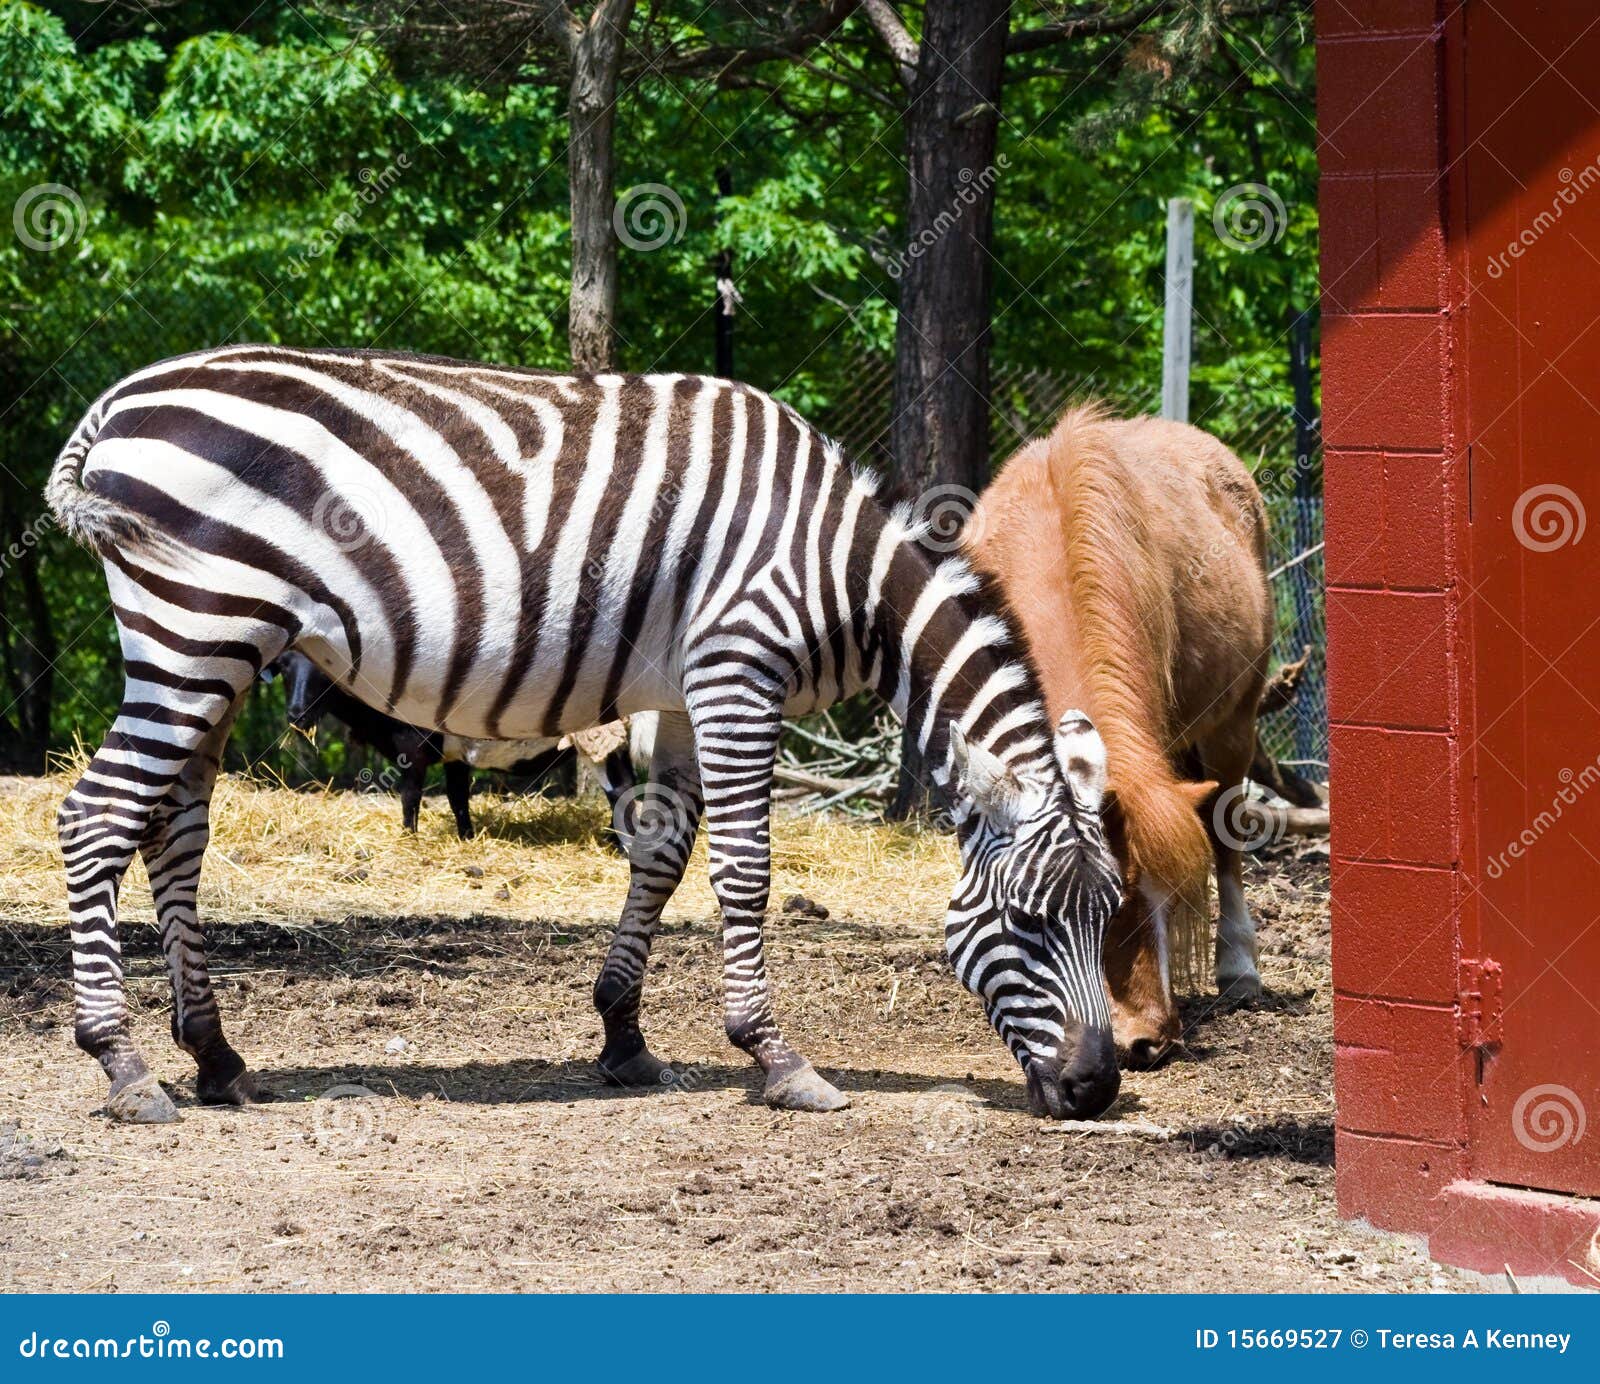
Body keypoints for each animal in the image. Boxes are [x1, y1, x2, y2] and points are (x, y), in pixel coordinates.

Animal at [45, 345, 1125, 1125]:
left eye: (1108, 918)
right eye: (1027, 922)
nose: (1097, 1089)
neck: (840, 572)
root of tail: (119, 402)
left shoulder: (682, 697)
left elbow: (663, 854)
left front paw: (623, 1036)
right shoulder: (738, 669)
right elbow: (744, 868)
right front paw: (776, 1057)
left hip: (218, 653)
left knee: (173, 832)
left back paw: (216, 1057)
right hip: (198, 632)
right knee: (96, 819)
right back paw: (126, 1067)